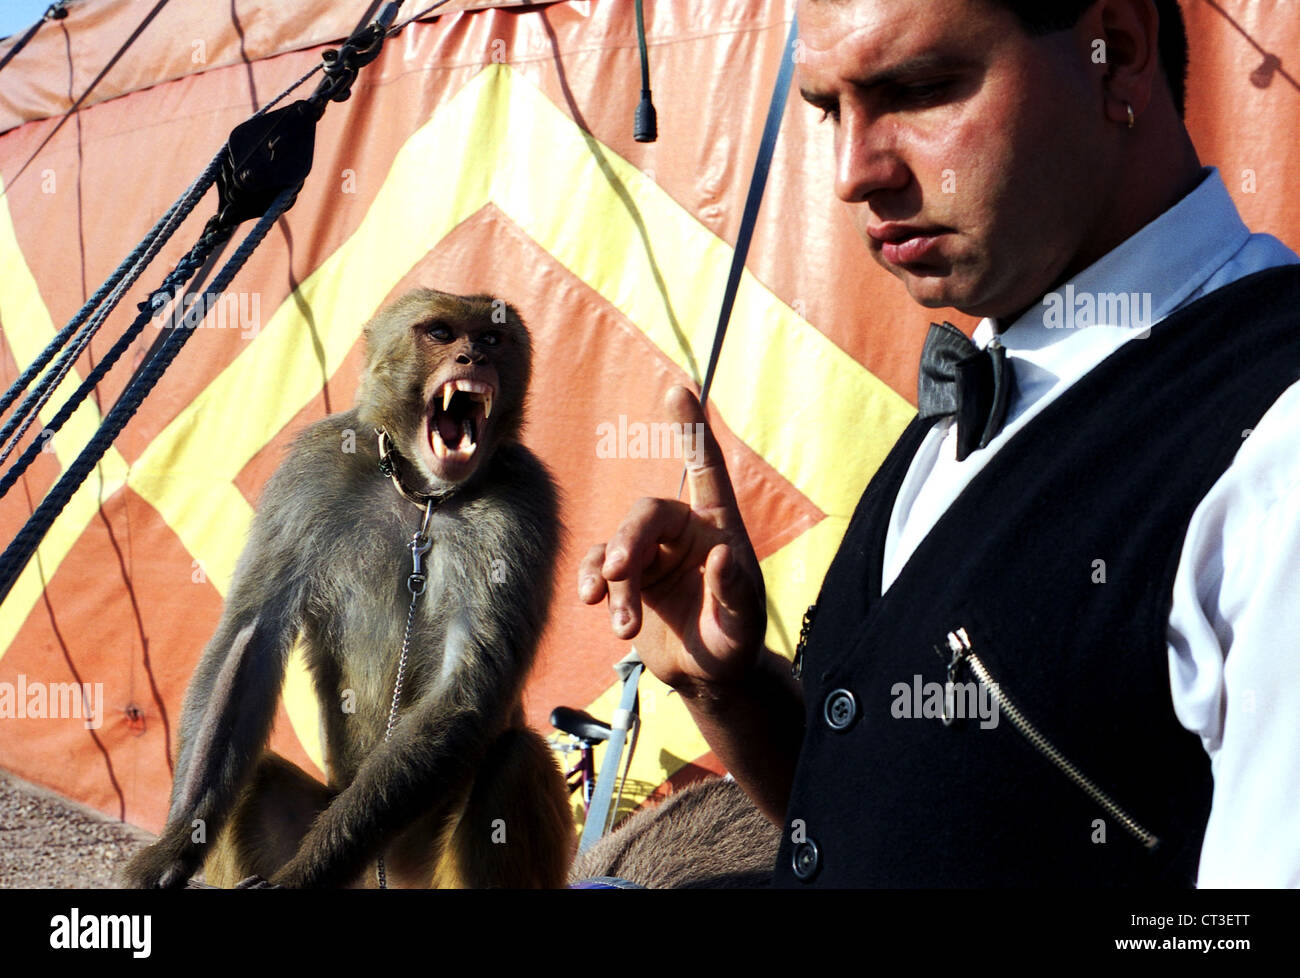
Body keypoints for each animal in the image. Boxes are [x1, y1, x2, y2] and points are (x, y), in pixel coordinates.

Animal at [121, 289, 573, 888]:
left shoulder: (525, 502)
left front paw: (301, 880)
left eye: (493, 337)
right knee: (255, 775)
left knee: (514, 760)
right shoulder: (313, 470)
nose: (473, 357)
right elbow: (250, 640)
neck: (423, 495)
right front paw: (172, 850)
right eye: (441, 333)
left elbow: (466, 688)